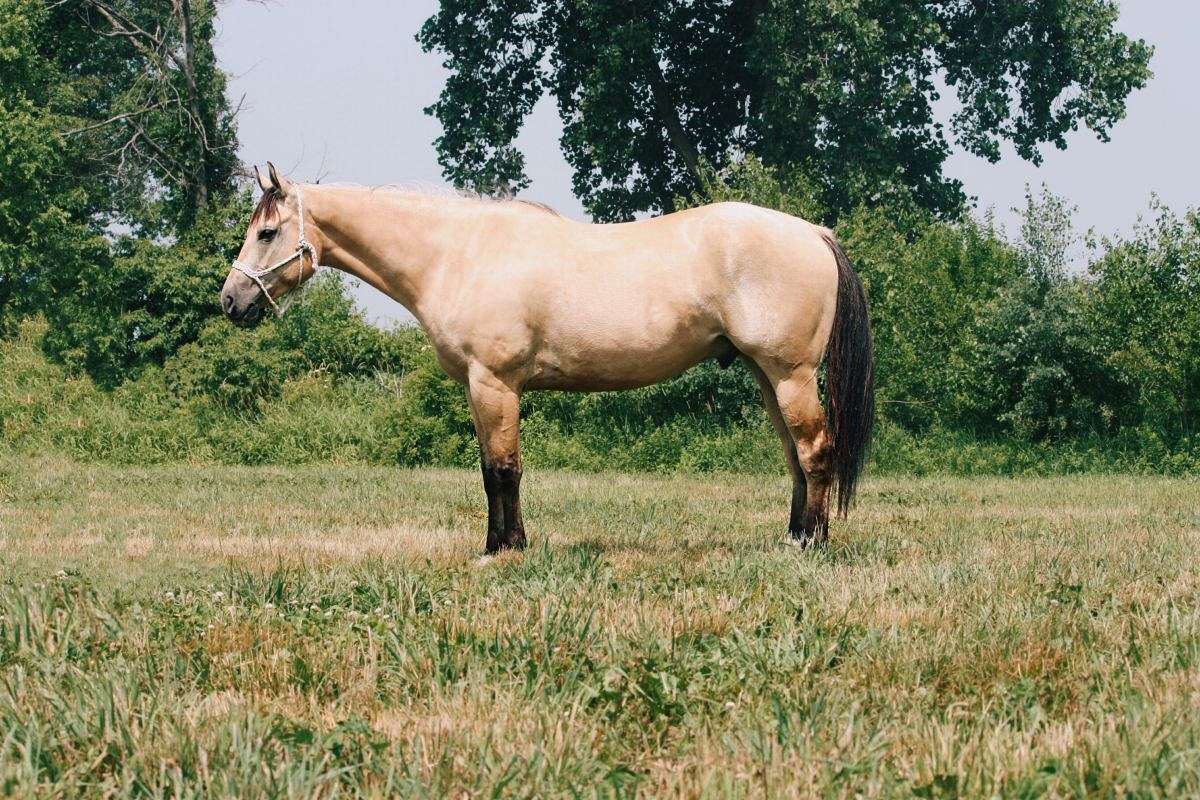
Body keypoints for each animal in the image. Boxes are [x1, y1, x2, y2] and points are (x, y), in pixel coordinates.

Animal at [220, 163, 874, 554]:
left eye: (267, 232)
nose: (231, 301)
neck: (458, 254)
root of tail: (814, 233)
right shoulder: (479, 388)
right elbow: (493, 470)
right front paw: (505, 542)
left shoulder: (494, 384)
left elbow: (501, 470)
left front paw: (502, 548)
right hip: (769, 377)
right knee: (795, 457)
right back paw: (792, 536)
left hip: (790, 375)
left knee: (816, 450)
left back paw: (812, 543)